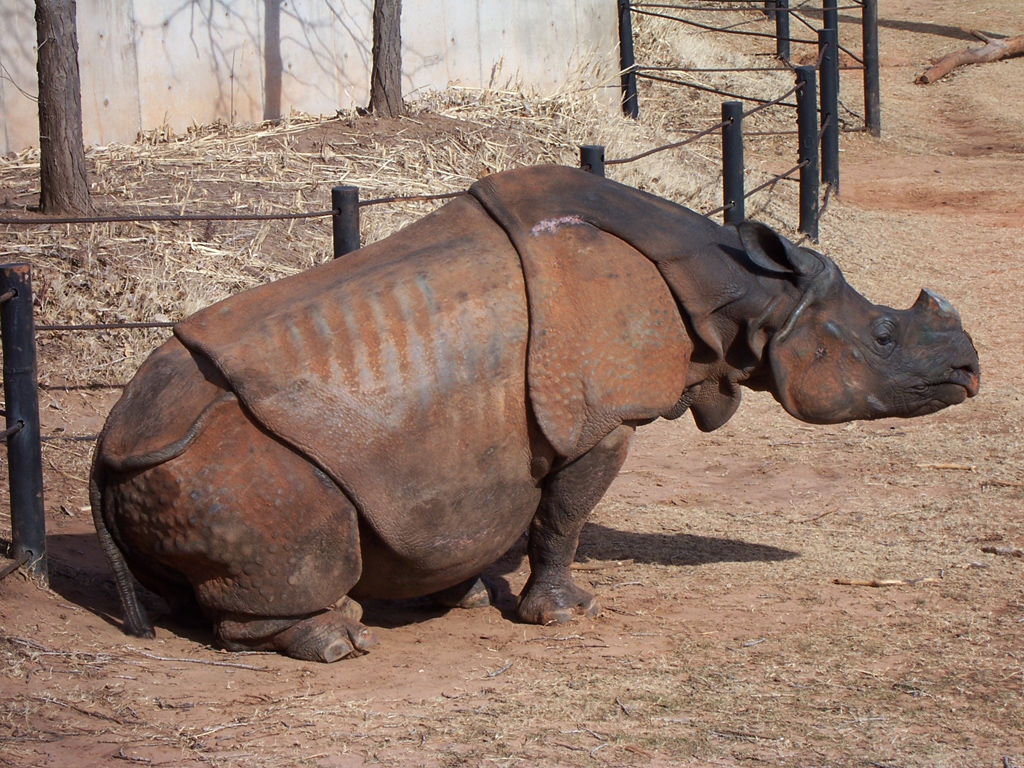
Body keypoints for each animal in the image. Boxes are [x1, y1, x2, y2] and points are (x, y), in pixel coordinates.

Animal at [91, 165, 979, 662]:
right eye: (884, 335)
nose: (971, 373)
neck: (750, 296)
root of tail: (103, 452)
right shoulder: (604, 417)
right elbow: (565, 514)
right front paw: (563, 615)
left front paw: (469, 595)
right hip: (231, 459)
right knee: (301, 536)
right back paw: (341, 641)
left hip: (173, 457)